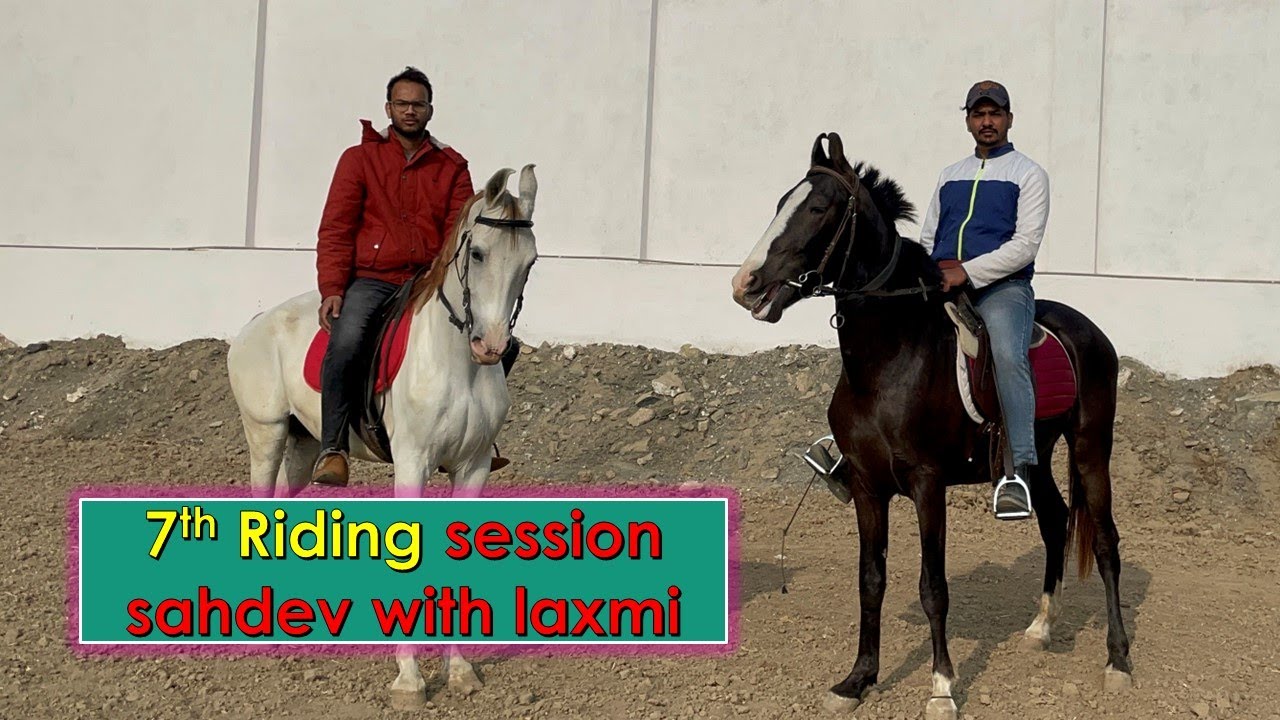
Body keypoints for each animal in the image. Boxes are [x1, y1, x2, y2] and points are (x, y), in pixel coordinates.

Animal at [226, 165, 538, 708]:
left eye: (530, 262)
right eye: (478, 253)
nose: (491, 345)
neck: (457, 363)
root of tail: (252, 326)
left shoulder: (474, 467)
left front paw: (459, 670)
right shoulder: (412, 463)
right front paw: (409, 680)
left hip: (304, 445)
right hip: (264, 433)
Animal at [730, 133, 1131, 719]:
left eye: (819, 208)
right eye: (782, 201)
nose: (746, 285)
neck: (892, 358)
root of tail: (1091, 333)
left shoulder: (927, 485)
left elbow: (932, 587)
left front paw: (941, 687)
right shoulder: (868, 487)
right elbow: (870, 580)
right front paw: (857, 680)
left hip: (1090, 447)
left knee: (1104, 542)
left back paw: (1118, 660)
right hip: (1035, 456)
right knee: (1055, 520)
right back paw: (1040, 627)